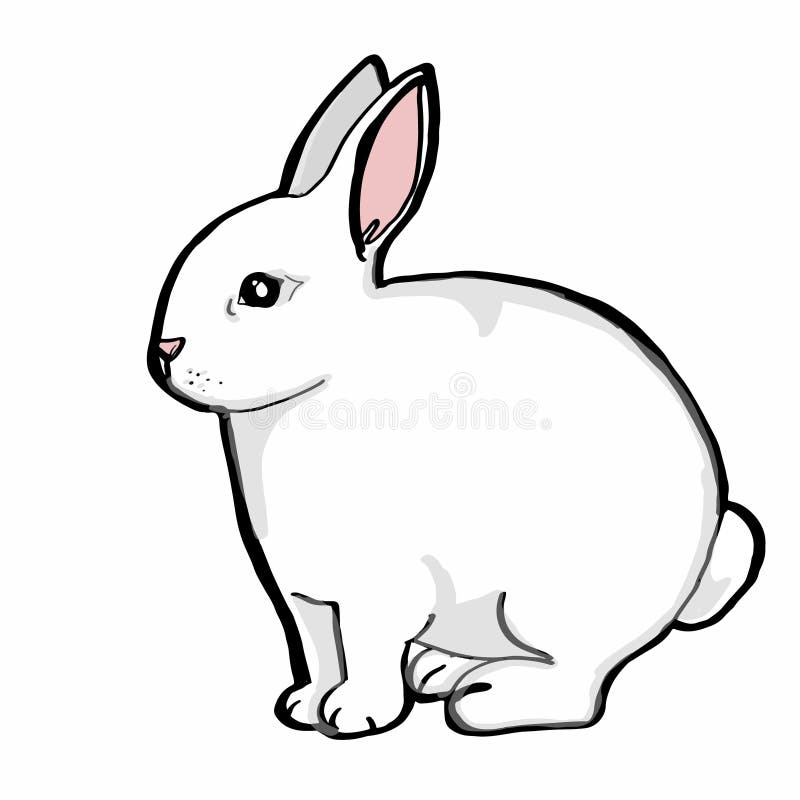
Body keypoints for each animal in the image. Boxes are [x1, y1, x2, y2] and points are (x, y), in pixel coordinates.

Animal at [147, 56, 764, 738]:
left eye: (260, 290)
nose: (164, 350)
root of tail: (700, 560)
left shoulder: (378, 584)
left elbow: (364, 646)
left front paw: (355, 714)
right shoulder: (304, 595)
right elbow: (319, 647)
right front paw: (306, 706)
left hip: (550, 596)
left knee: (579, 685)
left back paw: (484, 699)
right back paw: (439, 670)